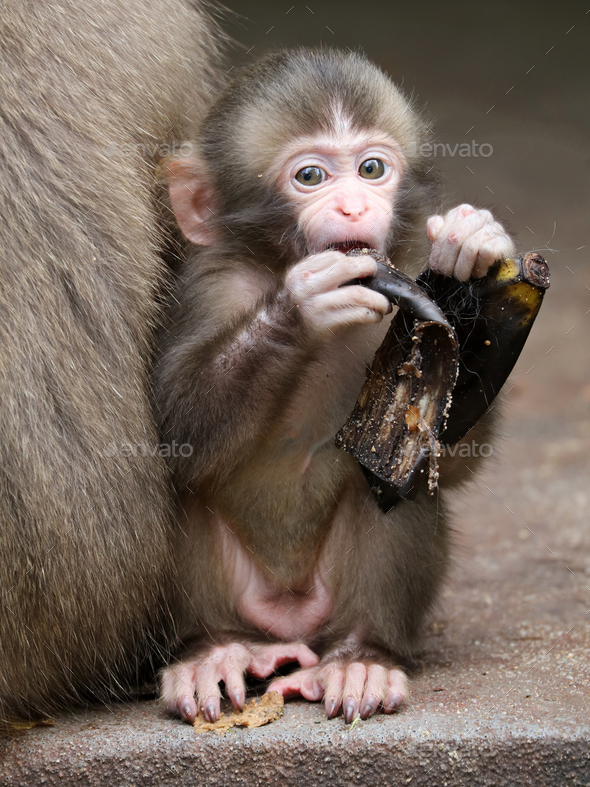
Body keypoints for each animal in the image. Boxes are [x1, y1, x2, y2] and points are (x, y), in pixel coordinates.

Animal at [154, 48, 515, 725]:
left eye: (371, 169)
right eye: (311, 177)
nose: (352, 207)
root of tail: (290, 622)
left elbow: (443, 460)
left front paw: (472, 243)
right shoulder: (210, 286)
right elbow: (174, 435)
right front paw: (301, 304)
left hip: (332, 603)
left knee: (389, 476)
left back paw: (361, 657)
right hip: (246, 602)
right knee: (185, 495)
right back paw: (212, 651)